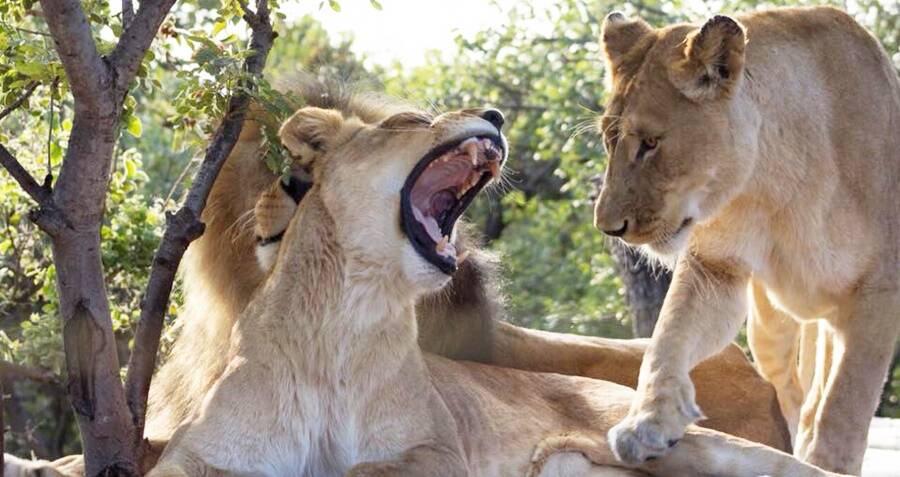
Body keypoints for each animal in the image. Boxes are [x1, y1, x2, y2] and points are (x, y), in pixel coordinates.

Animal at [4, 86, 790, 477]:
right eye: (413, 119)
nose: (496, 113)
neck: (342, 318)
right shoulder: (196, 455)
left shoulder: (434, 454)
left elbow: (365, 470)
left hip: (708, 447)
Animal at [593, 6, 900, 474]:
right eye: (608, 141)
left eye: (650, 142)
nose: (609, 227)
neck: (776, 184)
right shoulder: (714, 268)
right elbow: (667, 341)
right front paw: (646, 423)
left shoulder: (878, 294)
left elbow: (846, 404)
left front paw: (829, 463)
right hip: (770, 328)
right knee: (794, 395)